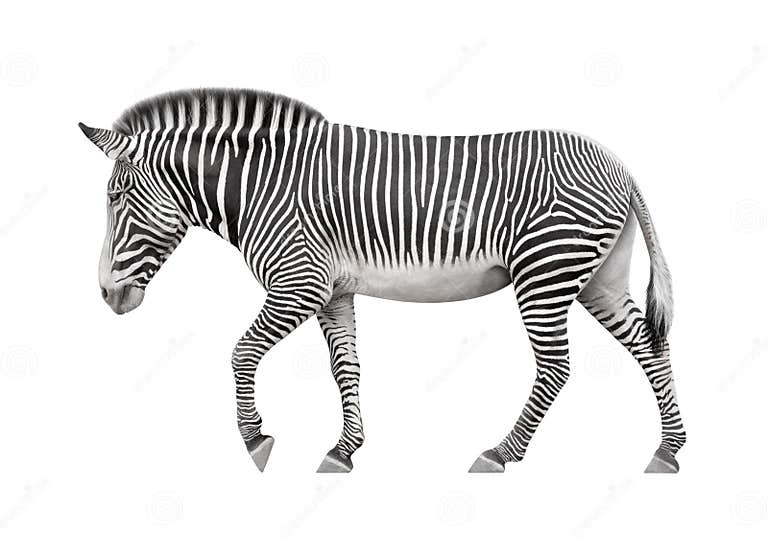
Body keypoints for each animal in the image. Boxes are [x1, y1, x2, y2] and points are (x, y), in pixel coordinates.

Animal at [80, 88, 685, 473]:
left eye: (114, 196)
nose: (107, 295)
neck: (264, 188)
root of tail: (619, 165)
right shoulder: (331, 290)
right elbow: (344, 368)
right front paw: (344, 450)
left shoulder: (297, 282)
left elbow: (241, 352)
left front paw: (255, 439)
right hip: (597, 278)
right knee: (648, 344)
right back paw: (668, 450)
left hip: (545, 272)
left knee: (557, 367)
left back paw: (500, 453)